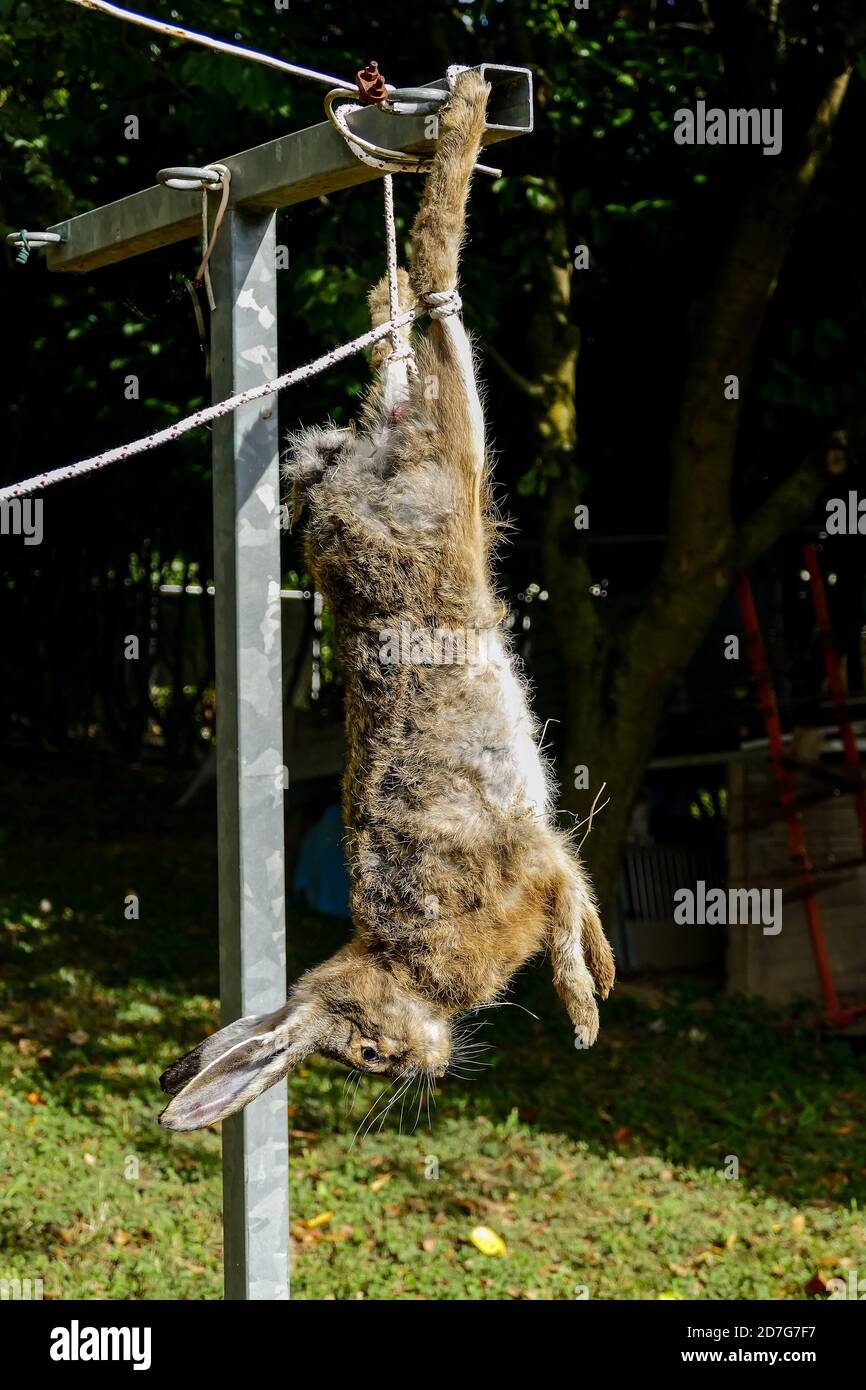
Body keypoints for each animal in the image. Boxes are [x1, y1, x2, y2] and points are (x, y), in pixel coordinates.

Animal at [158, 71, 614, 1133]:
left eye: (365, 1050)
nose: (418, 1070)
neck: (403, 963)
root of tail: (347, 466)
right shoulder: (537, 855)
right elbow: (577, 888)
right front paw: (600, 990)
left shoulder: (527, 866)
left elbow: (567, 912)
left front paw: (586, 1005)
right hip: (454, 466)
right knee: (414, 302)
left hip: (450, 463)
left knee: (436, 262)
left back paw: (468, 111)